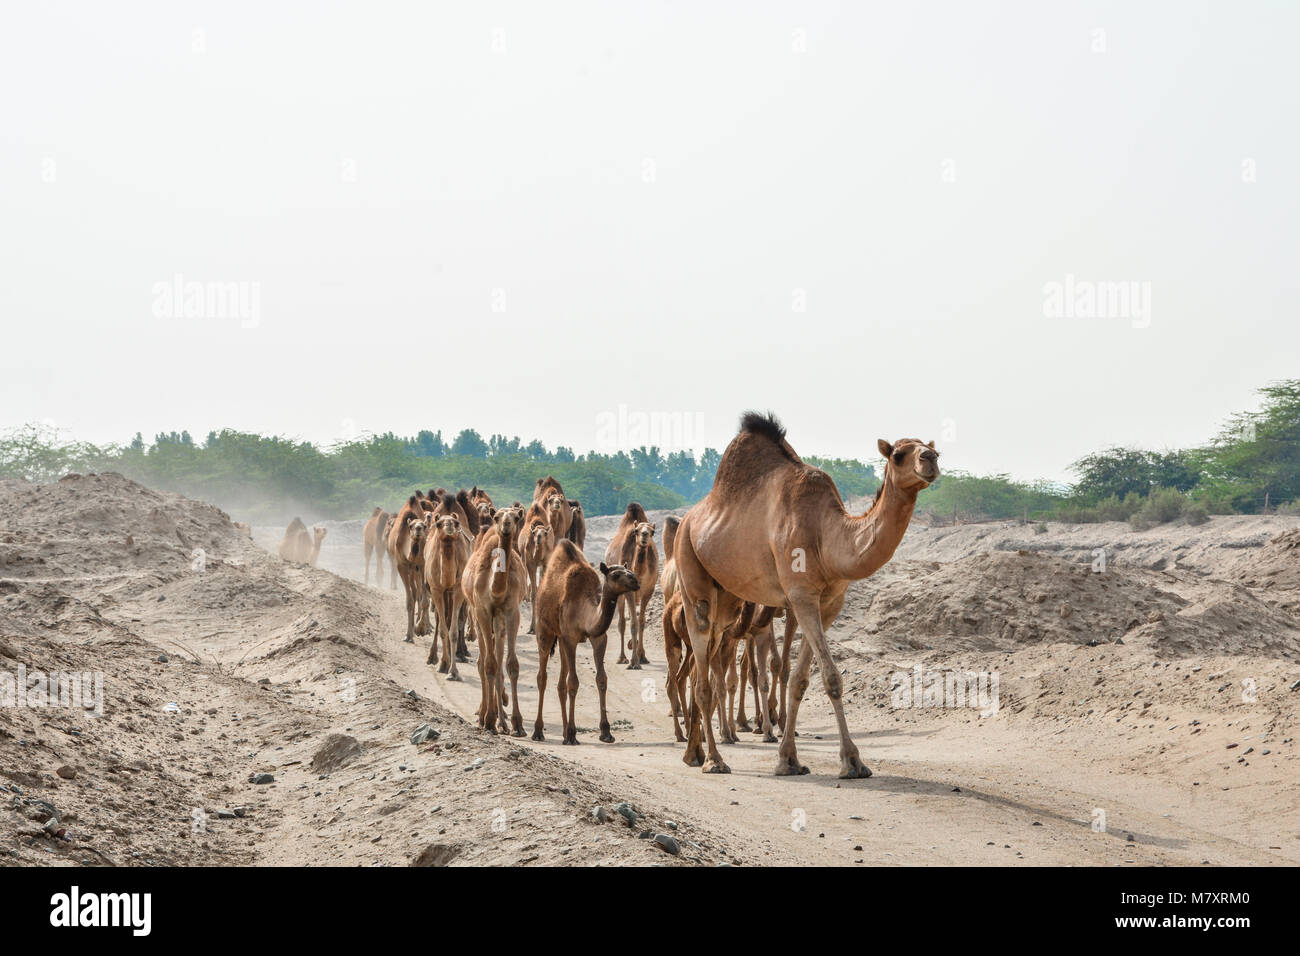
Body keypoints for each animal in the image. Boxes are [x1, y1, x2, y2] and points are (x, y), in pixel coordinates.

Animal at [388, 496, 432, 643]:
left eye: (424, 526)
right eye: (411, 526)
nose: (418, 529)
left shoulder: (422, 565)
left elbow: (424, 599)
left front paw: (421, 629)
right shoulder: (401, 565)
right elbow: (410, 600)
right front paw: (408, 635)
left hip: (416, 570)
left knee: (420, 593)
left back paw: (426, 627)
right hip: (411, 570)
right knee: (414, 593)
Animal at [423, 511, 472, 680]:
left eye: (456, 523)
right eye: (439, 524)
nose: (449, 526)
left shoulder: (457, 590)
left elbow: (453, 631)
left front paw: (453, 672)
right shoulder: (437, 590)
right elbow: (444, 630)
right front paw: (443, 664)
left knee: (451, 618)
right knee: (440, 619)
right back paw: (433, 657)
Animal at [462, 509, 528, 735]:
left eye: (516, 517)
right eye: (497, 516)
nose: (506, 525)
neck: (495, 590)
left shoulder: (511, 612)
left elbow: (511, 665)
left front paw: (517, 723)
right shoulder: (482, 611)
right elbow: (488, 665)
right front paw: (488, 720)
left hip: (498, 624)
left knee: (498, 664)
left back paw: (503, 720)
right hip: (478, 617)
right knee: (483, 663)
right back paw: (484, 715)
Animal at [531, 539, 639, 744]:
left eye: (628, 570)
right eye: (616, 574)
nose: (635, 580)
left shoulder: (598, 637)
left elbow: (601, 679)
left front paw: (606, 732)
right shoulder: (570, 638)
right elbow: (573, 682)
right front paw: (573, 734)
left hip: (561, 639)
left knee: (561, 683)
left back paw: (563, 731)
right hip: (544, 630)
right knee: (542, 677)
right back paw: (538, 732)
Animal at [674, 411, 938, 777]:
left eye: (929, 447)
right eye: (898, 454)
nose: (931, 459)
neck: (826, 537)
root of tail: (687, 519)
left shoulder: (829, 605)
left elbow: (800, 678)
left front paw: (789, 759)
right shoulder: (801, 596)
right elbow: (831, 676)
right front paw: (852, 762)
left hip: (726, 599)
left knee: (710, 664)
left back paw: (694, 753)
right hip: (690, 575)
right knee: (702, 676)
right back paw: (714, 760)